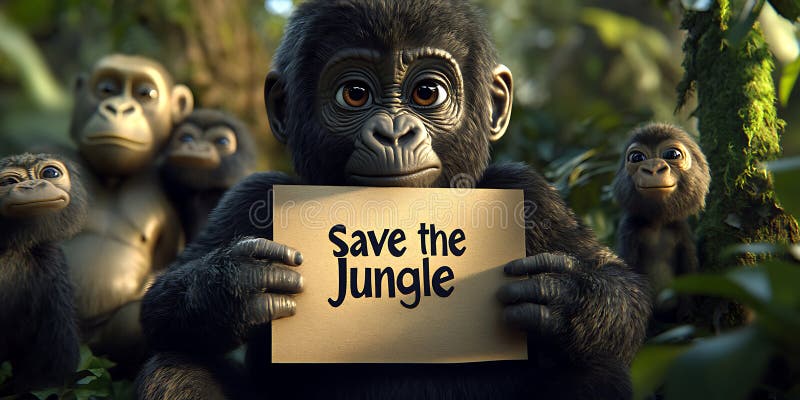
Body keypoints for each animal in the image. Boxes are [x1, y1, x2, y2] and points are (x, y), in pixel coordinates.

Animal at [613, 123, 710, 319]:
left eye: (672, 155)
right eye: (637, 157)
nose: (652, 168)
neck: (657, 224)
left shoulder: (682, 229)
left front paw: (687, 313)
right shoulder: (629, 229)